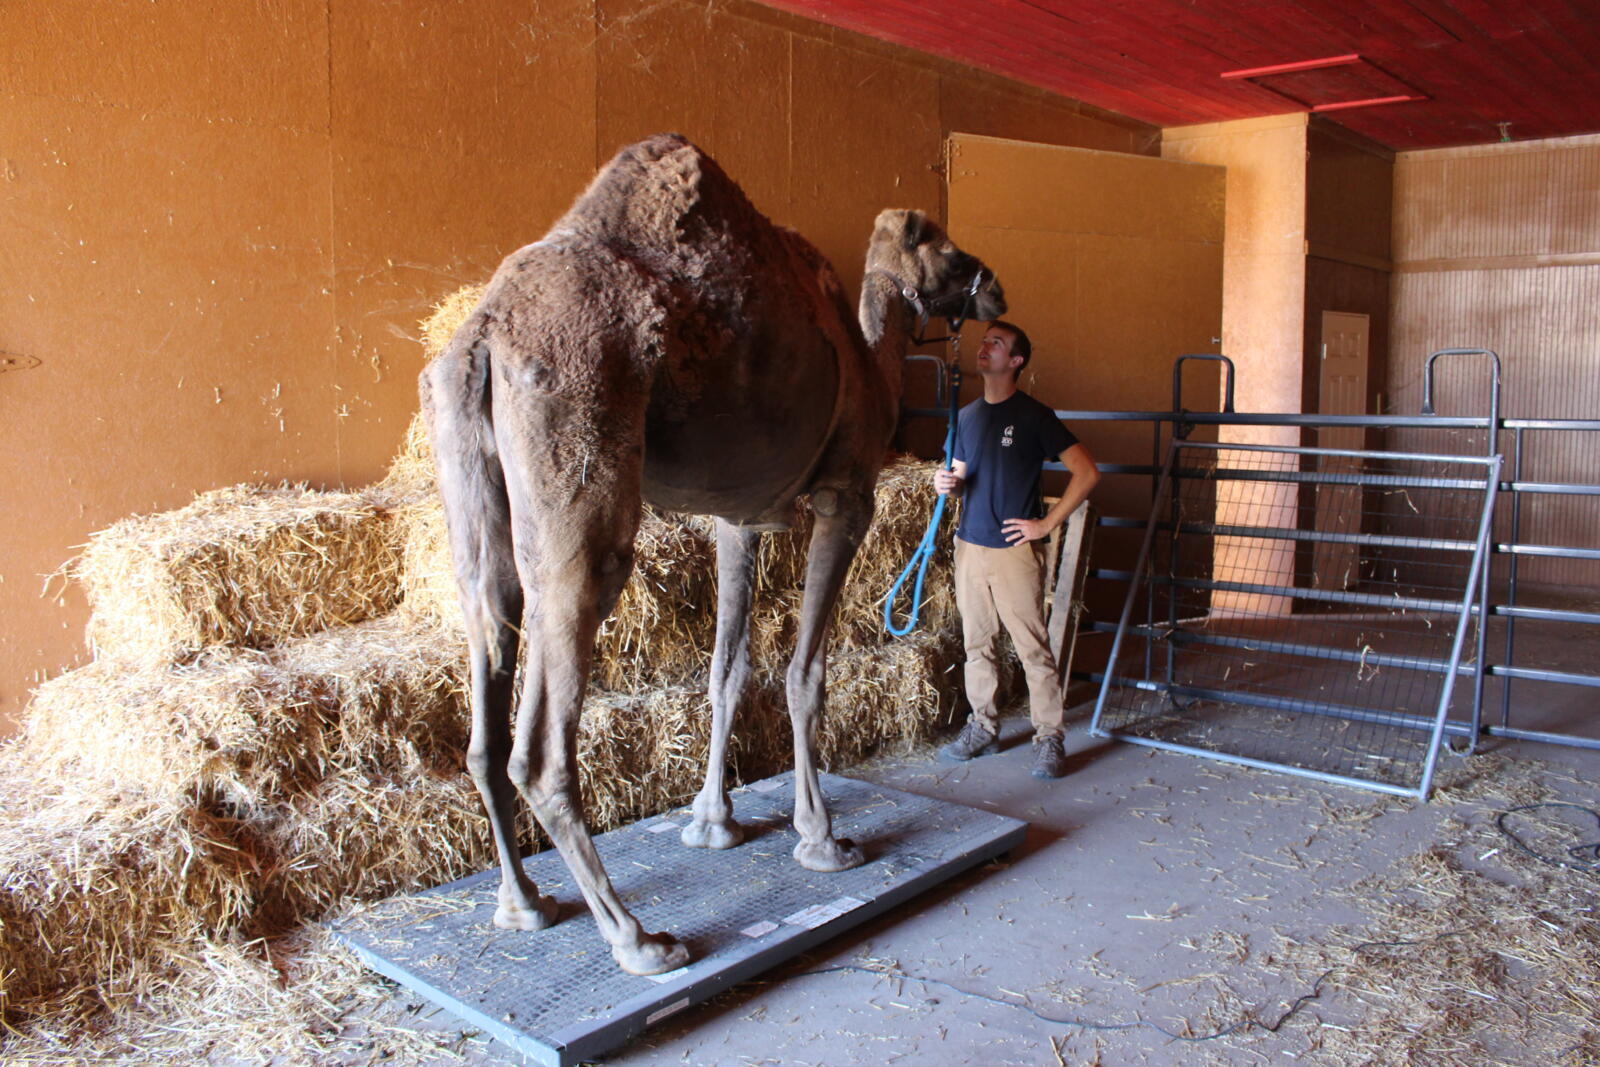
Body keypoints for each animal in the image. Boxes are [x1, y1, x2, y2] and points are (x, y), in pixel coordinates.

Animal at [421, 133, 1004, 976]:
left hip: (468, 476)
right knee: (543, 732)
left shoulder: (740, 519)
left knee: (488, 657)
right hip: (576, 454)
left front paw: (712, 821)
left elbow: (727, 672)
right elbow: (804, 676)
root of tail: (485, 335)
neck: (866, 355)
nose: (997, 294)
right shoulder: (846, 500)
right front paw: (822, 838)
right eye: (952, 252)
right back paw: (638, 938)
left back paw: (525, 904)